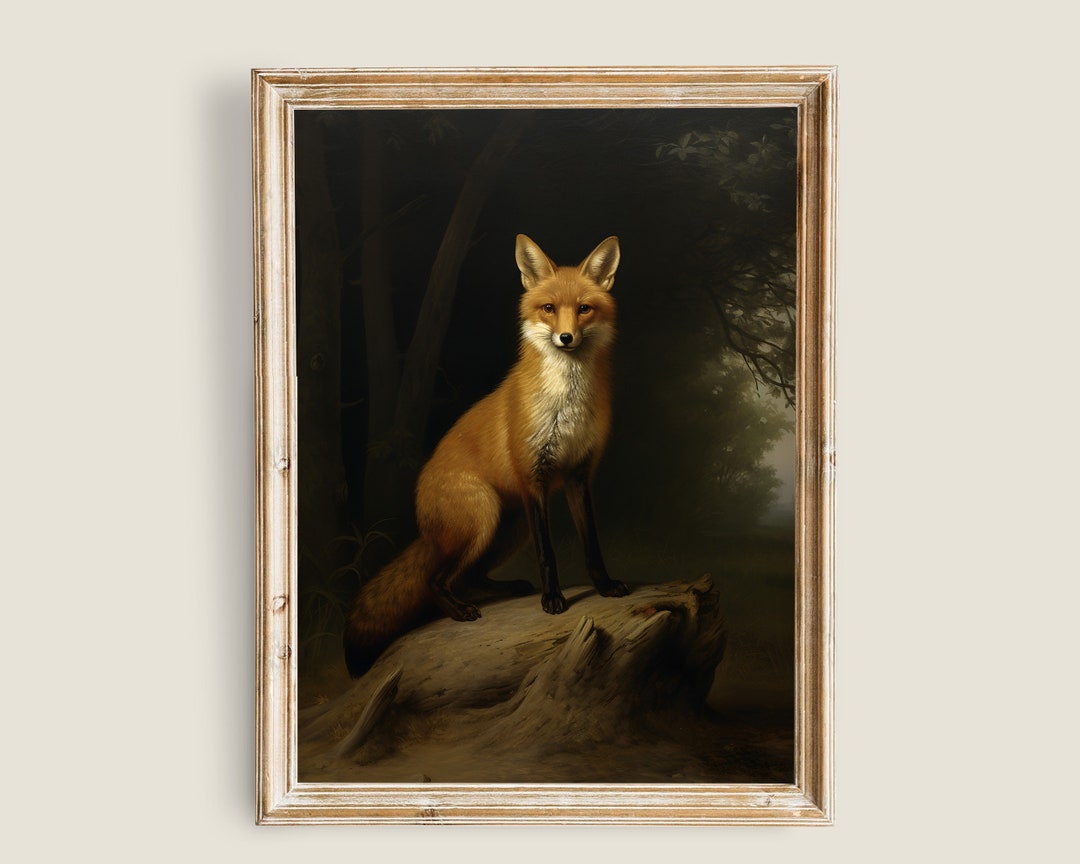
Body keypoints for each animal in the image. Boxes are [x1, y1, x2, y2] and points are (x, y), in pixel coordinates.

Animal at [343, 234, 629, 678]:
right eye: (549, 308)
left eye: (584, 308)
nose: (566, 338)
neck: (566, 405)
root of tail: (425, 523)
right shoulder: (533, 478)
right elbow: (548, 554)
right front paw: (553, 600)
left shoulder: (578, 477)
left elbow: (592, 544)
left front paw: (604, 585)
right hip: (485, 517)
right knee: (436, 579)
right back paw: (459, 610)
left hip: (509, 527)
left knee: (468, 575)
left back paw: (508, 588)